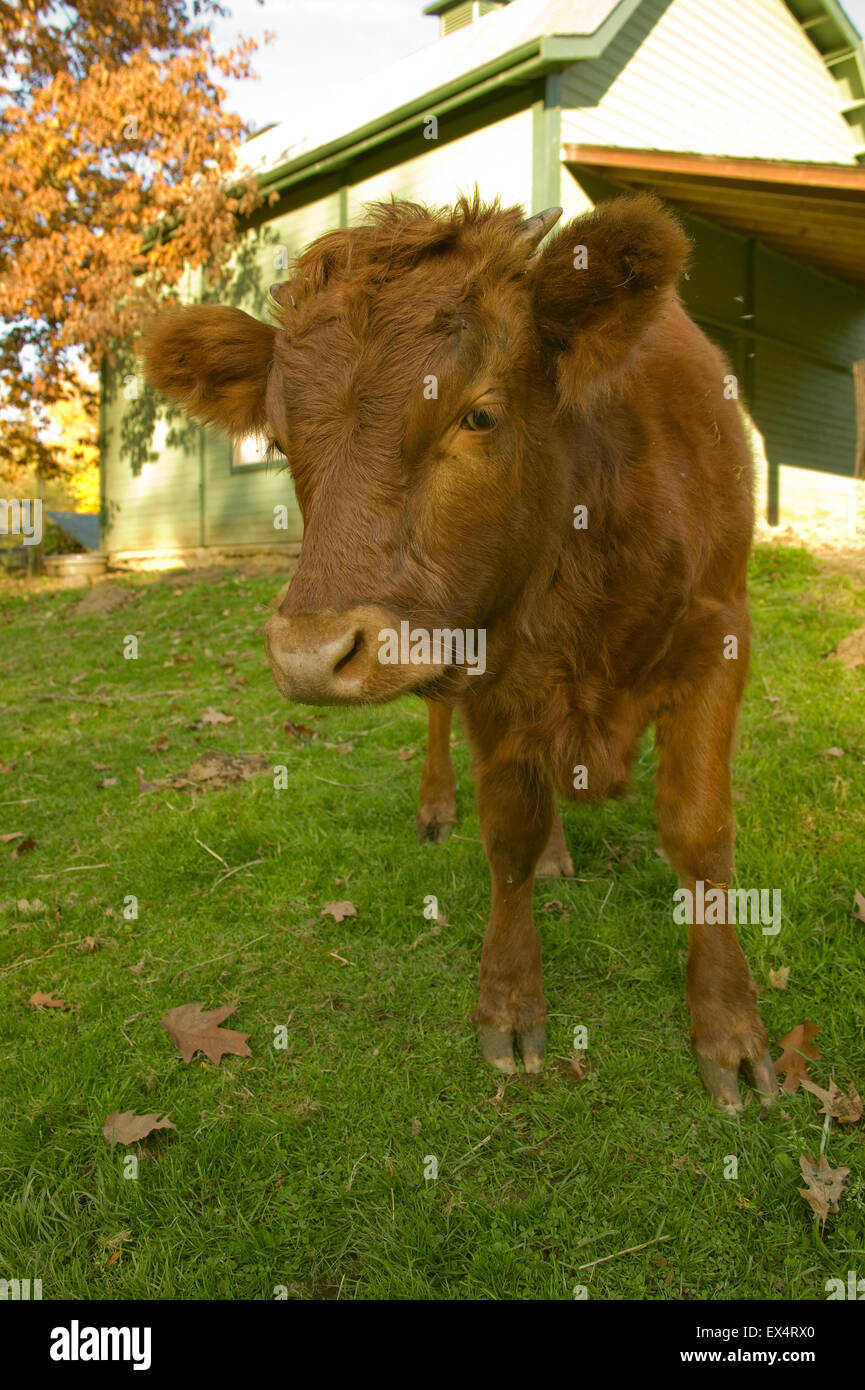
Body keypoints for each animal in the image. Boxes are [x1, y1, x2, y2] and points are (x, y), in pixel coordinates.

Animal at [143, 192, 777, 1113]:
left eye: (477, 414)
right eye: (282, 439)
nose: (308, 654)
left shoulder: (720, 633)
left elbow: (697, 833)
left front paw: (729, 1031)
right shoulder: (487, 668)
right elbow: (506, 834)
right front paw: (508, 1002)